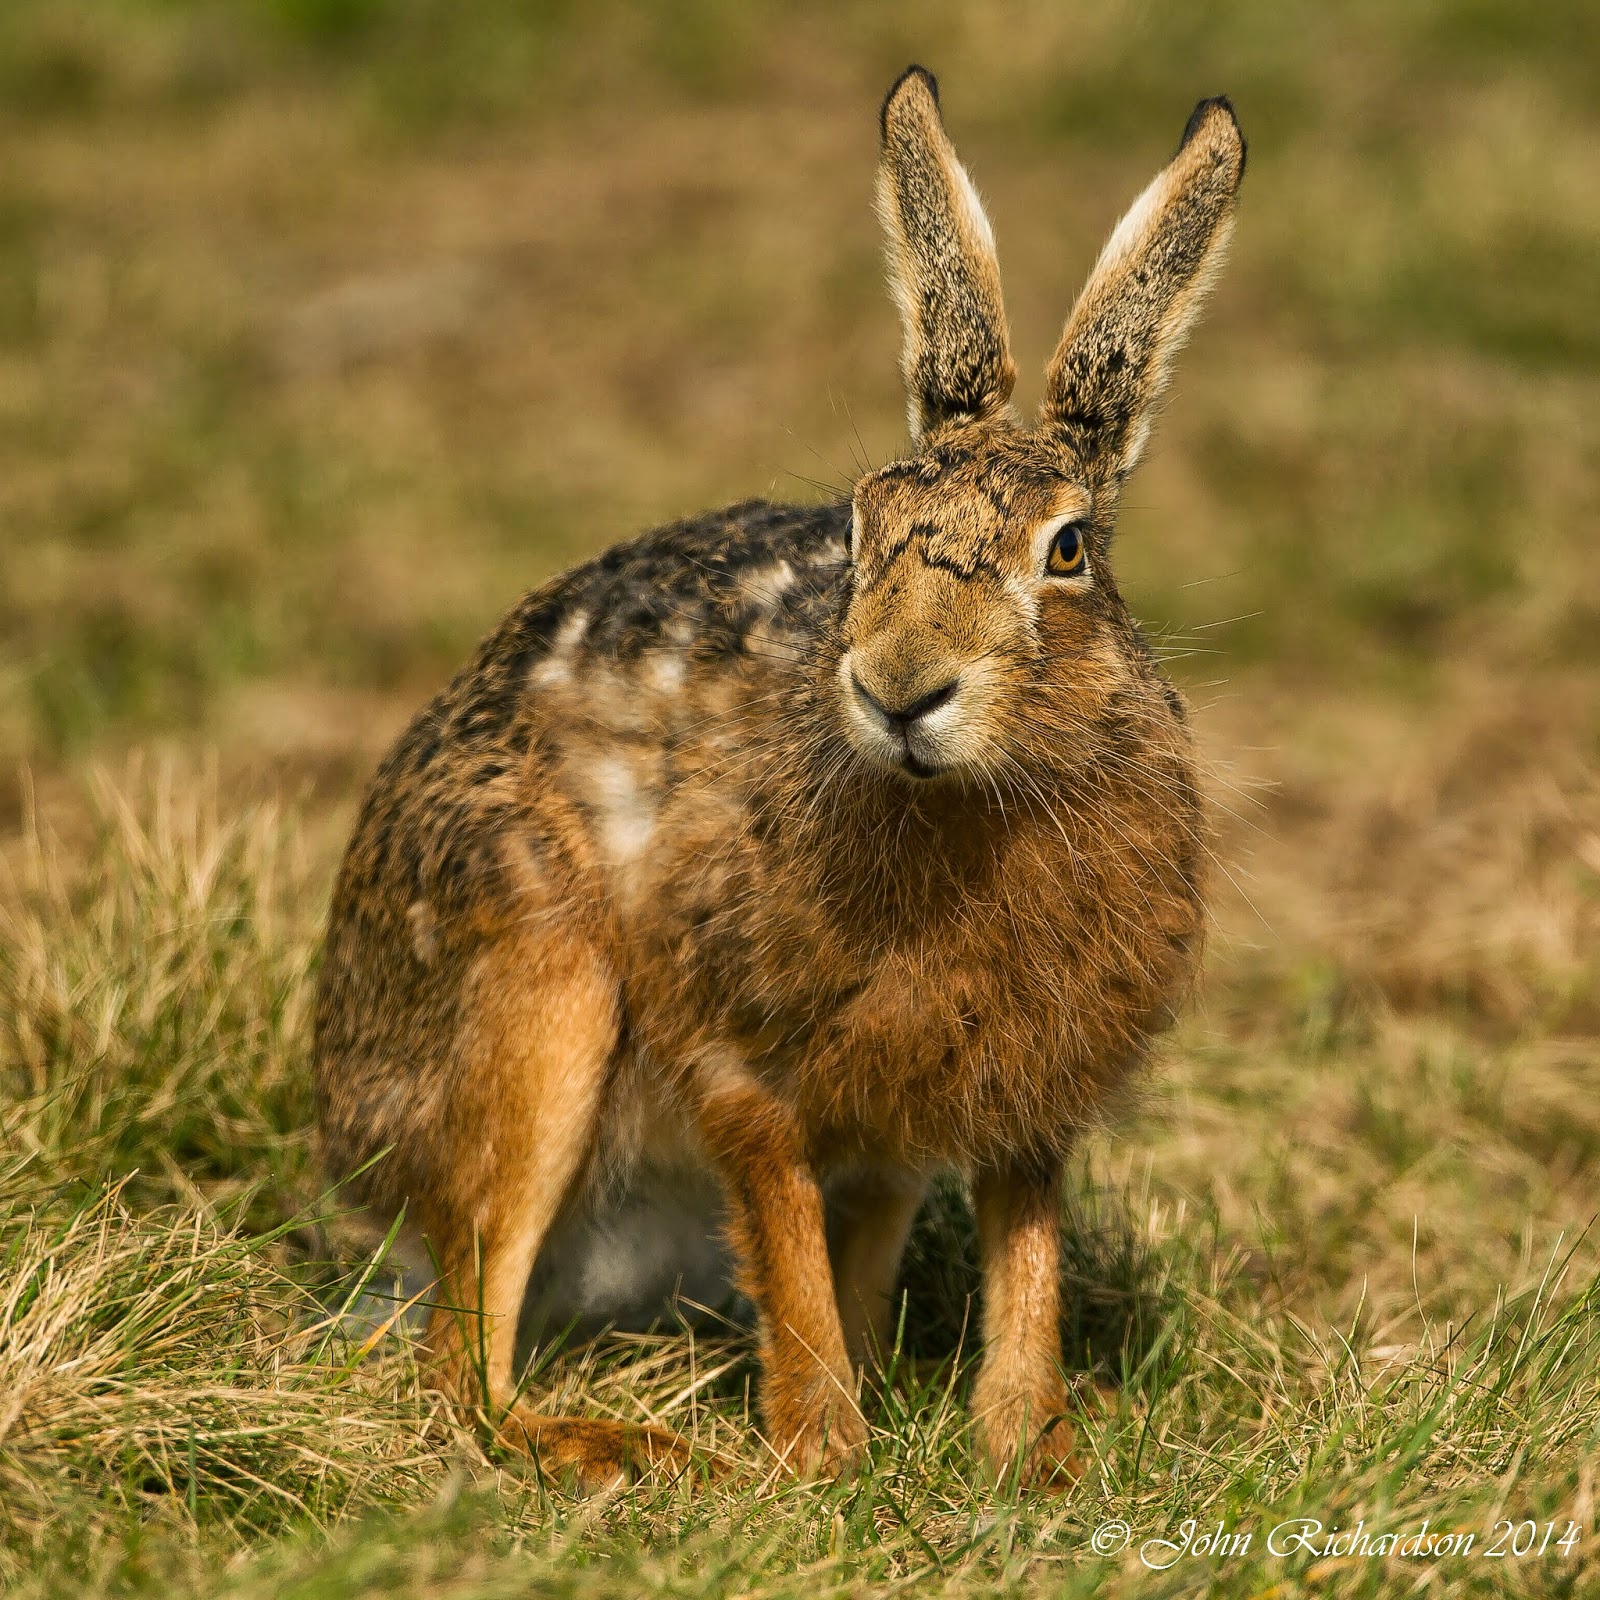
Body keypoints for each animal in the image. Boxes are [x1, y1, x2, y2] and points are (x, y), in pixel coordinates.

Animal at [313, 65, 1245, 1489]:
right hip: (535, 997)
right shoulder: (733, 1055)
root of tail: (346, 1133)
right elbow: (783, 1241)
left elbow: (1020, 1252)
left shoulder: (1025, 1092)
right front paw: (821, 1450)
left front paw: (1028, 1451)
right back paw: (625, 1447)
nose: (901, 685)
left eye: (1069, 549)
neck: (954, 807)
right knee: (460, 1367)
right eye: (860, 524)